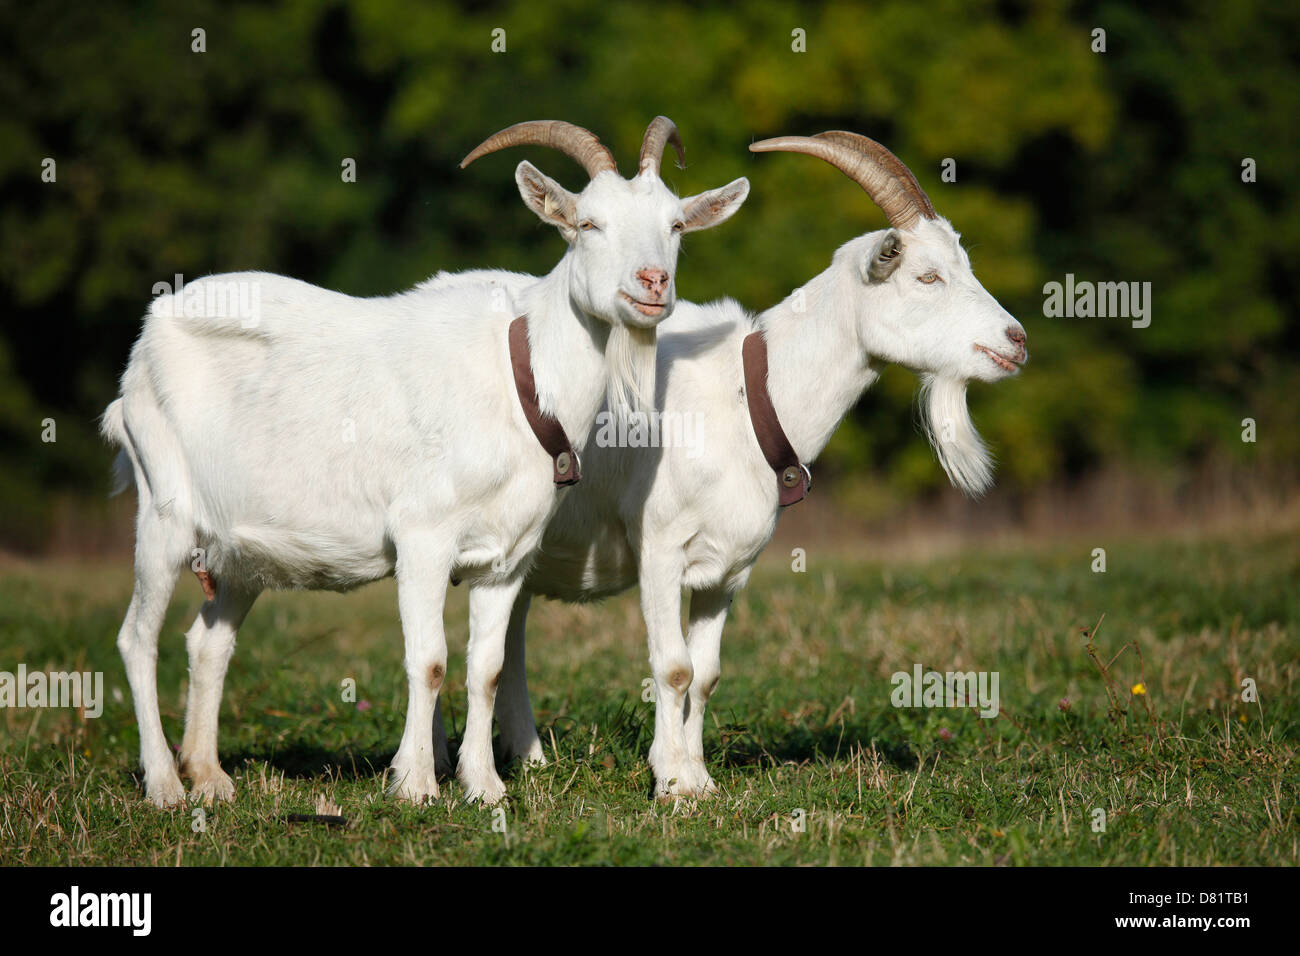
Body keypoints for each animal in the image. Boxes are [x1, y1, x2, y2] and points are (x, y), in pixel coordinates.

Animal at [100, 117, 750, 806]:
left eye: (675, 225)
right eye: (588, 223)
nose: (653, 283)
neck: (521, 379)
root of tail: (144, 342)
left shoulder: (508, 555)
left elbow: (487, 668)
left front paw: (484, 785)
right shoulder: (423, 537)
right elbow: (430, 660)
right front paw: (415, 783)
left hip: (240, 544)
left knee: (209, 642)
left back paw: (210, 777)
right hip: (163, 506)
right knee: (137, 639)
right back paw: (165, 785)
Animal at [449, 131, 1028, 796]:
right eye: (927, 275)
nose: (1016, 341)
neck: (748, 396)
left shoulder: (729, 568)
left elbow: (705, 674)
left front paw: (699, 778)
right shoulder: (658, 546)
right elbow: (671, 667)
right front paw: (671, 783)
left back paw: (529, 759)